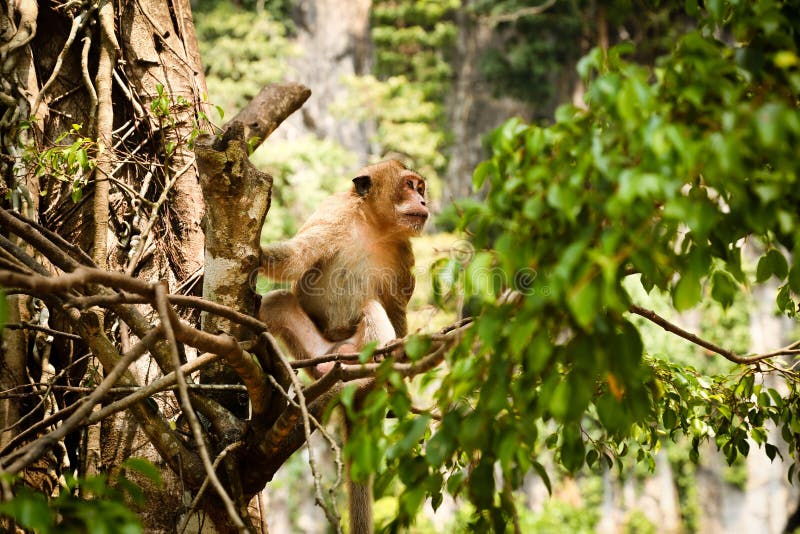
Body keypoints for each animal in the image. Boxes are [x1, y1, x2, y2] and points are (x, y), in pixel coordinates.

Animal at [258, 159, 428, 534]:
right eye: (410, 186)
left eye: (420, 187)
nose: (424, 202)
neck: (373, 226)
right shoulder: (333, 214)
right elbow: (297, 257)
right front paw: (259, 255)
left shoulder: (403, 252)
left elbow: (395, 307)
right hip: (315, 351)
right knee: (275, 303)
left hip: (355, 345)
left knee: (371, 306)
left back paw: (378, 368)